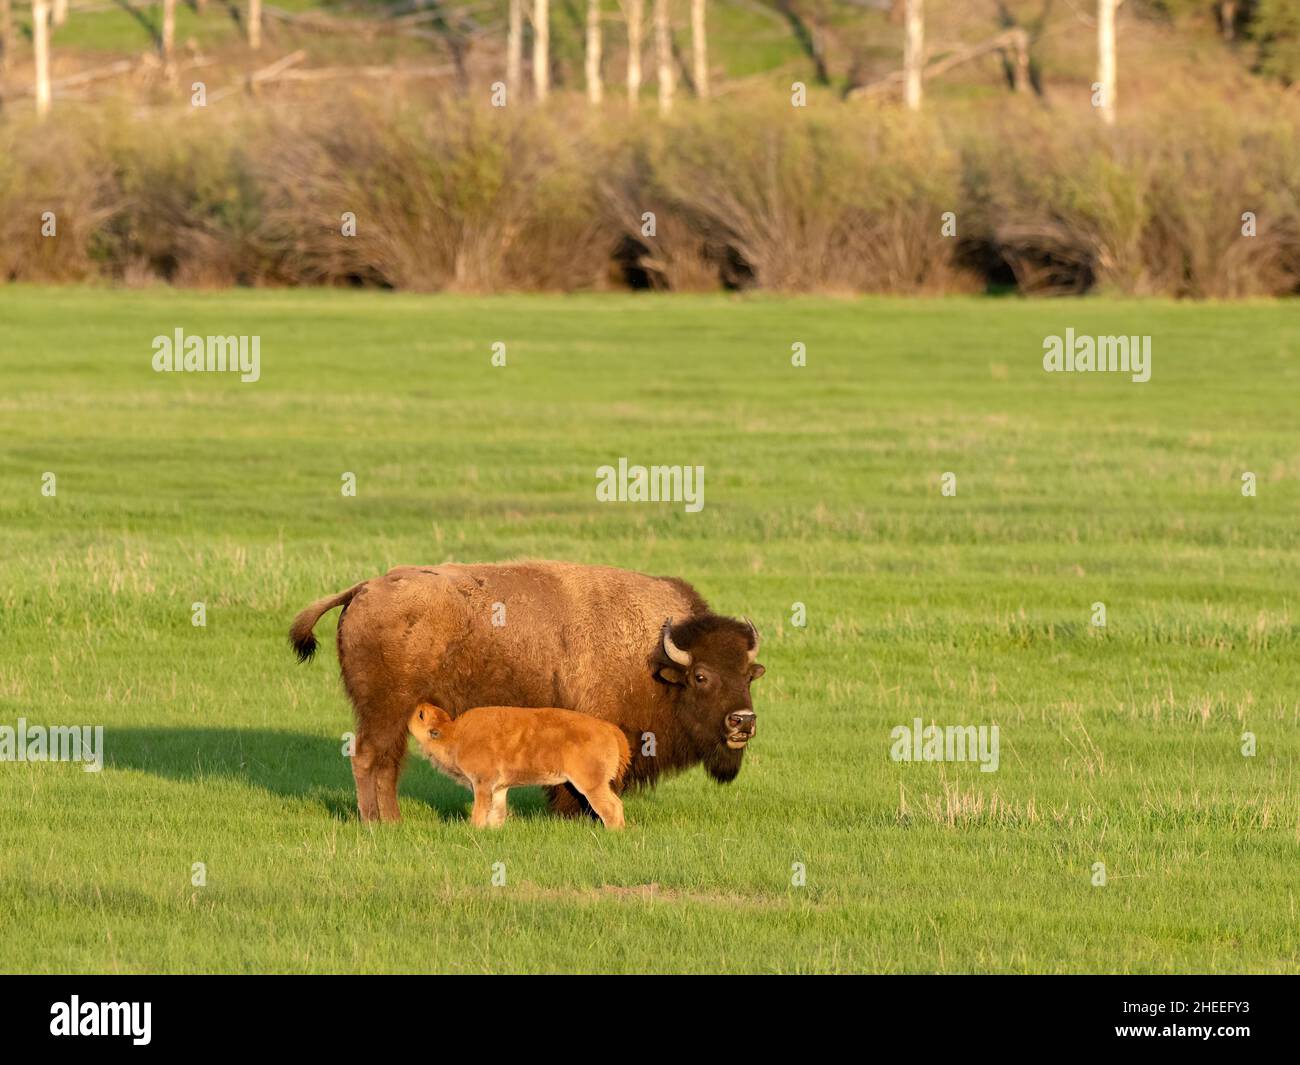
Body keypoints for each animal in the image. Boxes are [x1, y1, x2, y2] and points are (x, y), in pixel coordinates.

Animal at [289, 561, 764, 823]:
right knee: (373, 759)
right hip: (385, 710)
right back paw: (384, 822)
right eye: (701, 676)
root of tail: (364, 588)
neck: (653, 656)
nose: (743, 721)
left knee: (383, 762)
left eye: (749, 674)